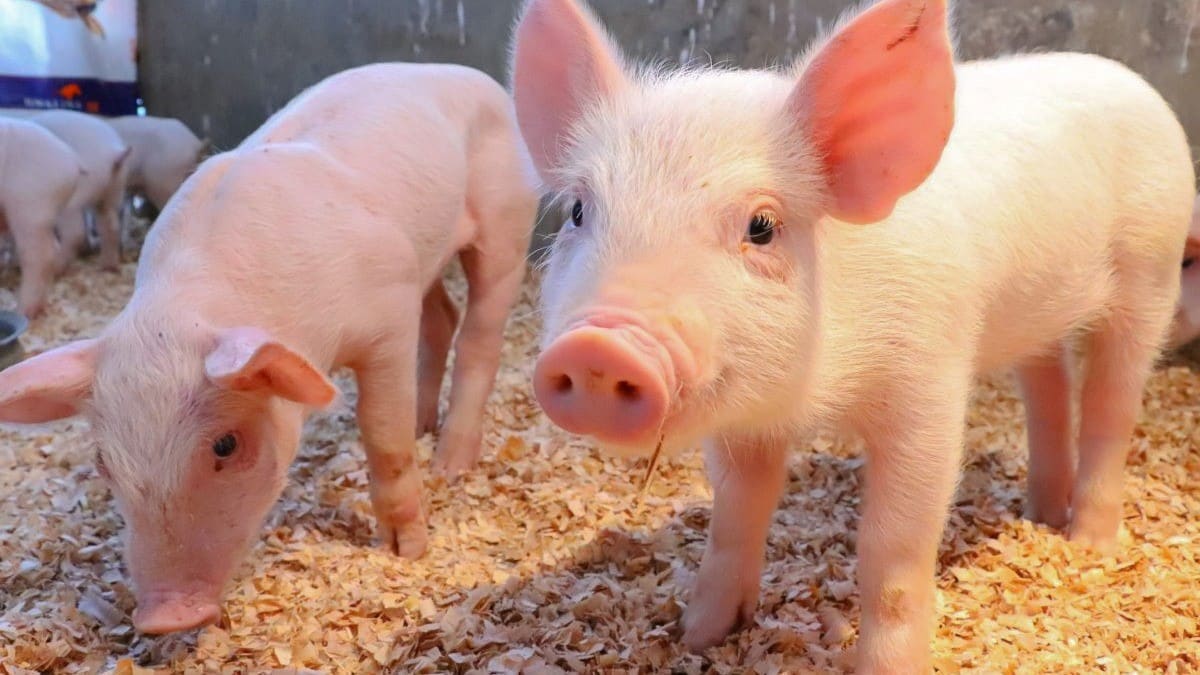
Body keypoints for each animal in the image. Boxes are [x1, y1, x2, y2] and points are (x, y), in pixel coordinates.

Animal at [29, 109, 131, 271]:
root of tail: (113, 152)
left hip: (75, 197)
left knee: (75, 232)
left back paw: (58, 267)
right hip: (113, 191)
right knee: (110, 226)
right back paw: (108, 267)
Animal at [510, 0, 1194, 671]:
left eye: (762, 226)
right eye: (577, 211)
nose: (600, 346)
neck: (816, 399)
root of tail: (1126, 77)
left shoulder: (928, 385)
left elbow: (891, 551)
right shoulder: (743, 422)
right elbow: (736, 516)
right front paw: (695, 638)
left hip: (1151, 268)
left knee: (1111, 404)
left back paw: (1089, 543)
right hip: (1043, 315)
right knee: (1047, 383)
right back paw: (1039, 515)